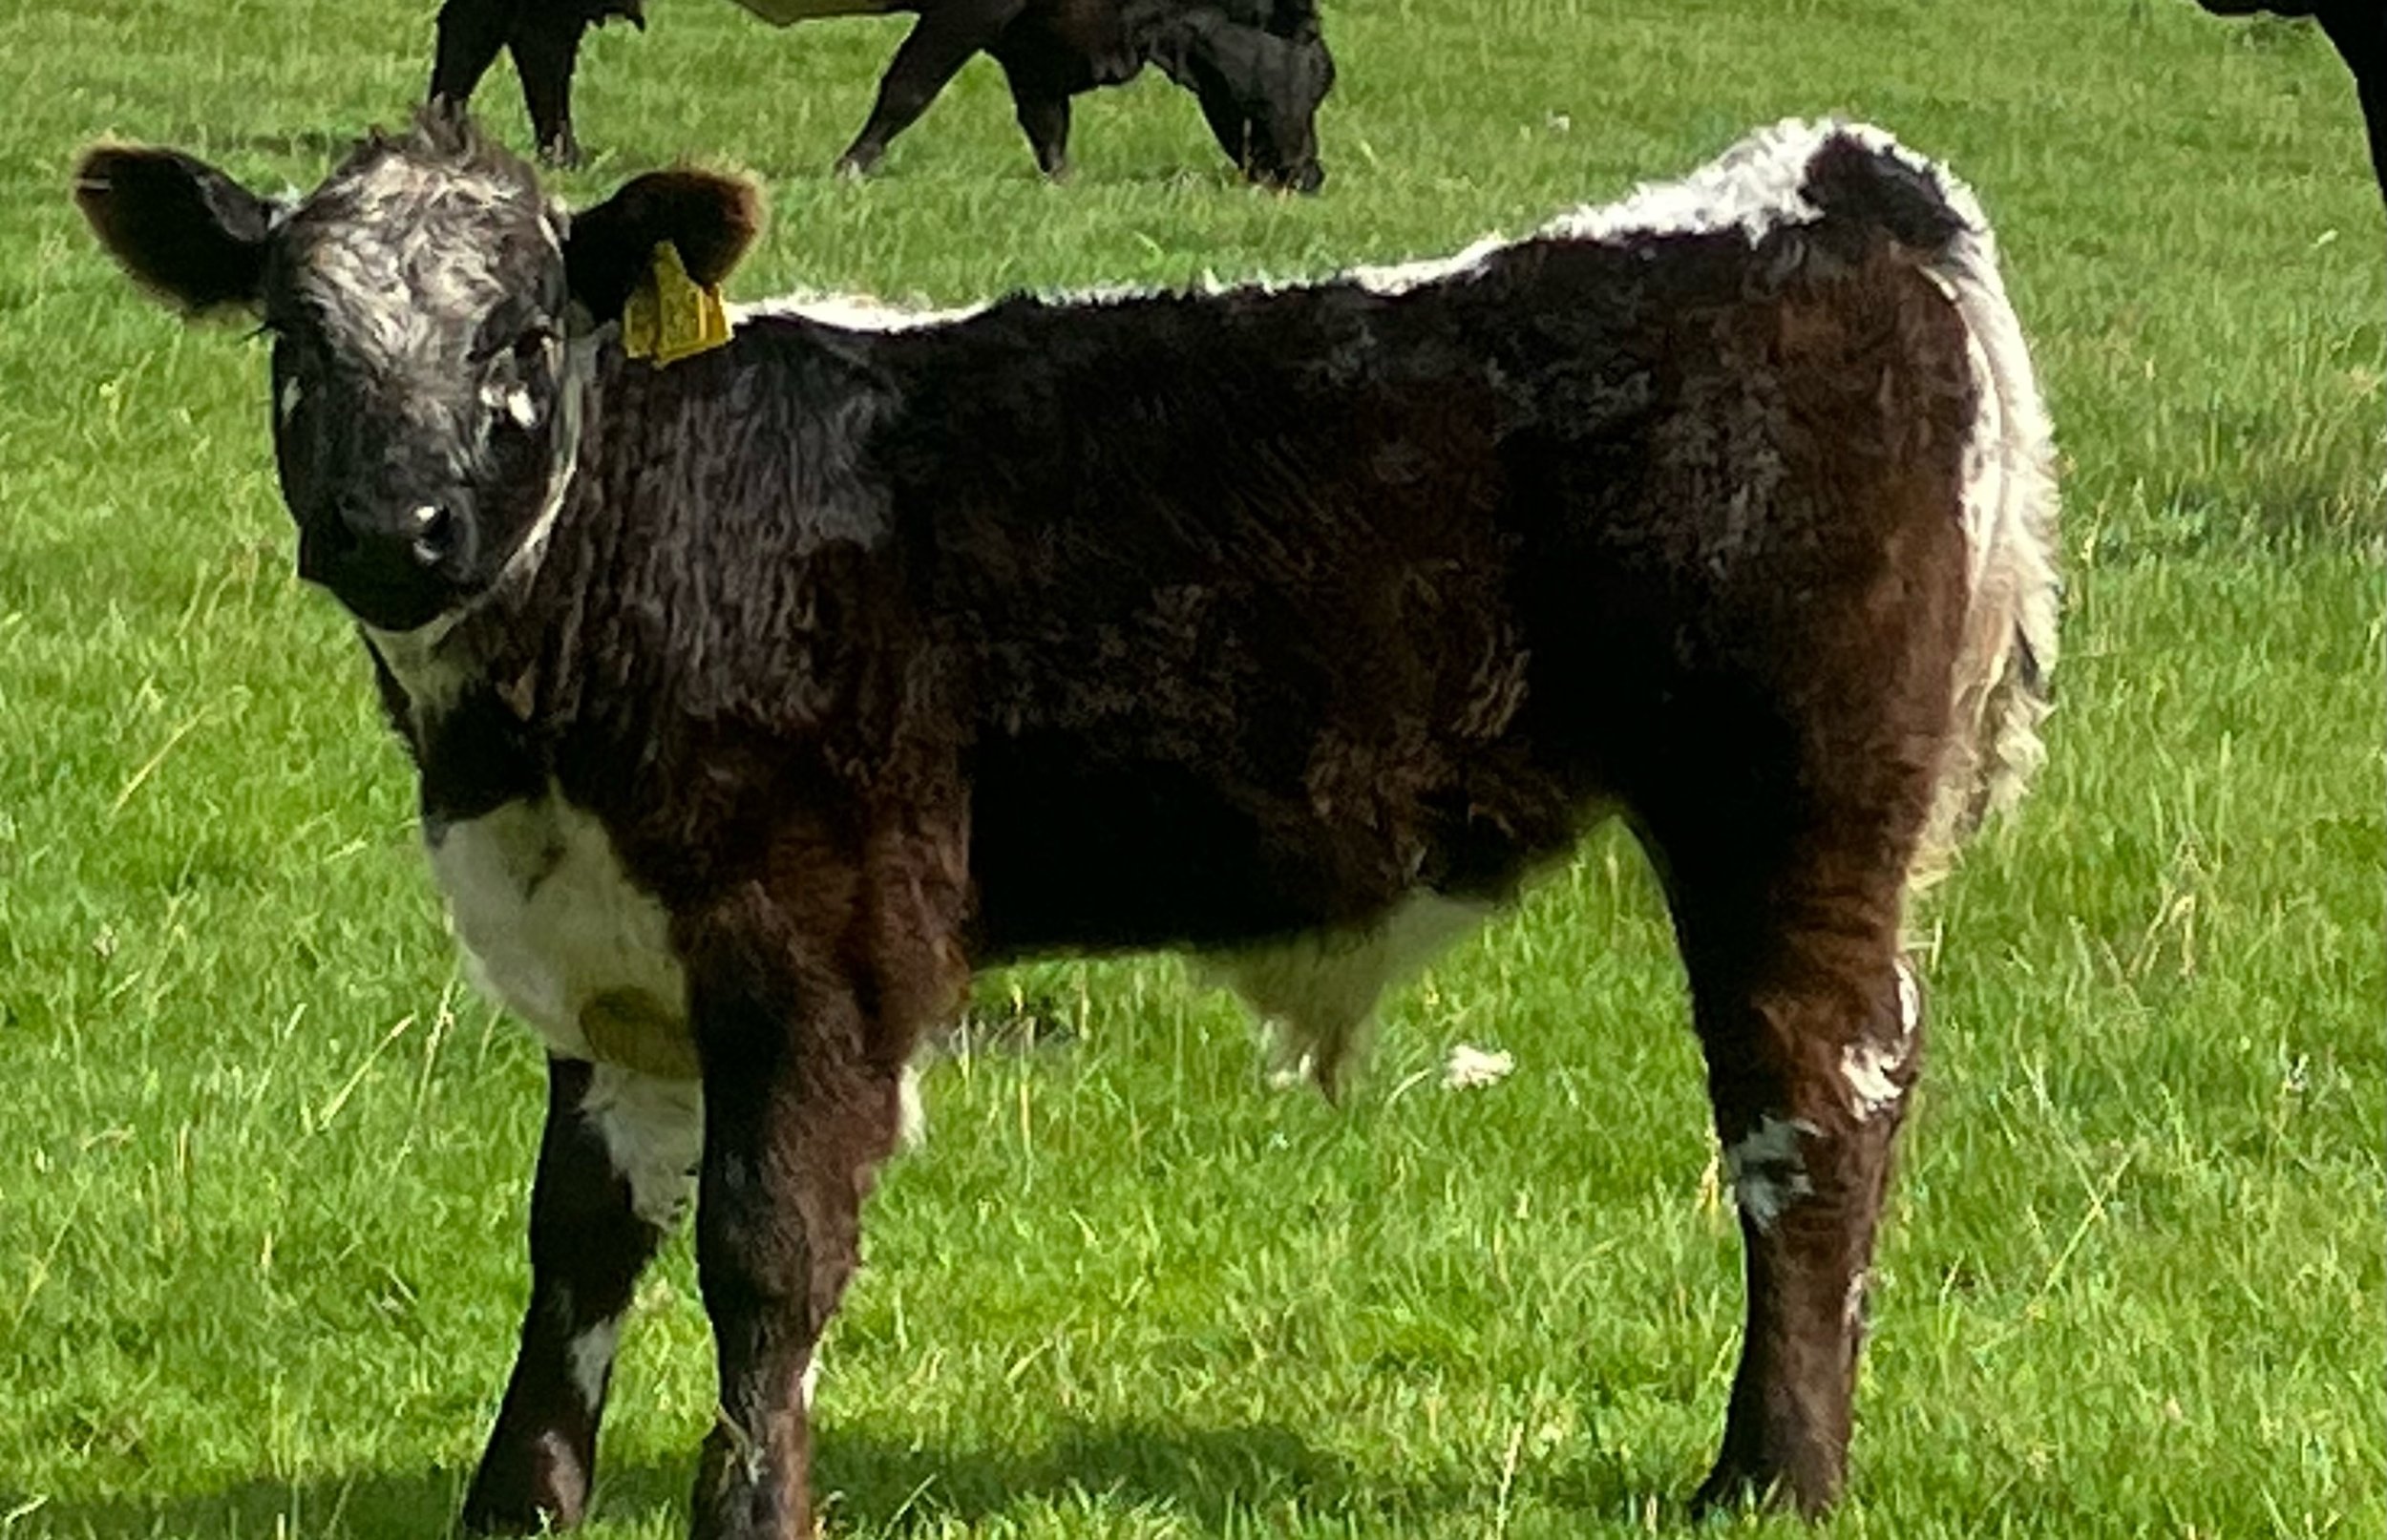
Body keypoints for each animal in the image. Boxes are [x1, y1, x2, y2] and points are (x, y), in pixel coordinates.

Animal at [72, 110, 2057, 1537]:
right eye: (297, 334)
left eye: (515, 330)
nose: (393, 526)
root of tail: (1833, 184)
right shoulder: (608, 962)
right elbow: (578, 1243)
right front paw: (515, 1506)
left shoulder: (820, 935)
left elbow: (766, 1253)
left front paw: (753, 1510)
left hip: (1792, 812)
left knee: (1810, 1110)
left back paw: (1769, 1477)